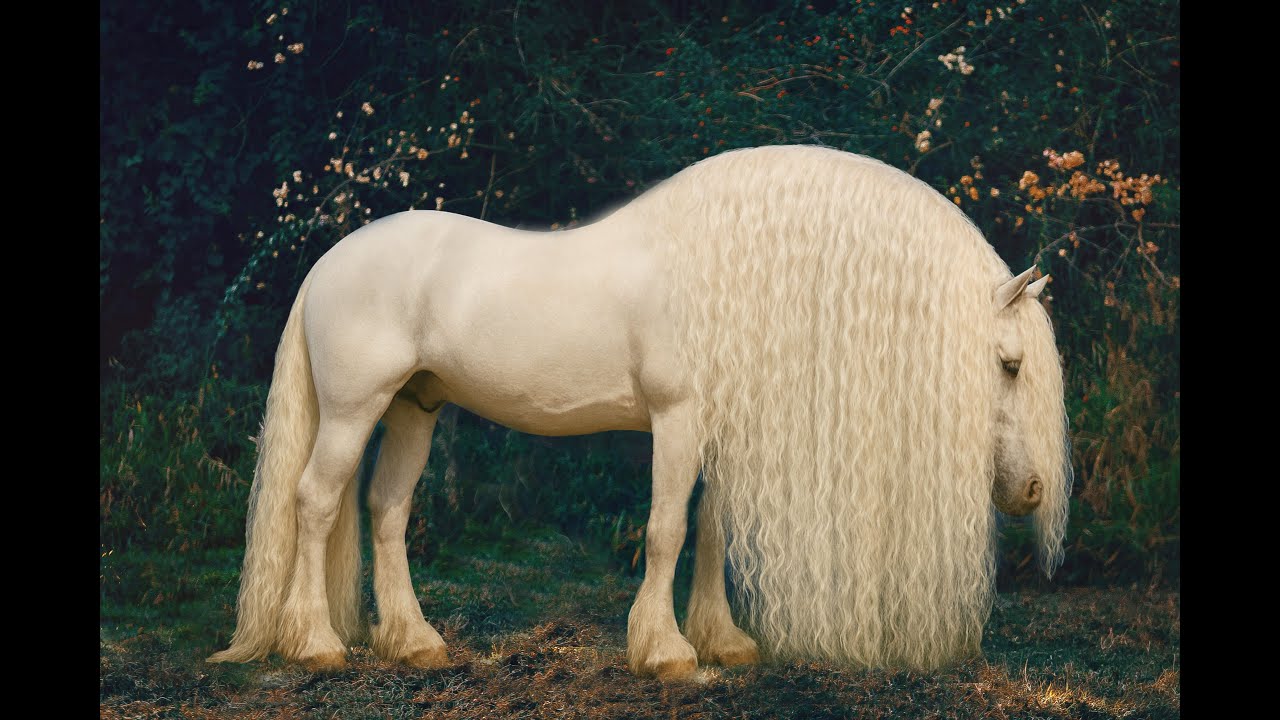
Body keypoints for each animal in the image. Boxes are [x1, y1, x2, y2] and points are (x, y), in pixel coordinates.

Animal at [208, 145, 1071, 679]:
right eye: (1009, 363)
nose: (1031, 492)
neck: (726, 272)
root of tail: (328, 262)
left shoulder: (715, 428)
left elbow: (712, 532)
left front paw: (723, 641)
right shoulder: (677, 419)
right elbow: (666, 531)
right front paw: (665, 652)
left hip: (416, 408)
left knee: (386, 511)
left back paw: (415, 643)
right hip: (354, 410)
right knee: (316, 504)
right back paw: (315, 644)